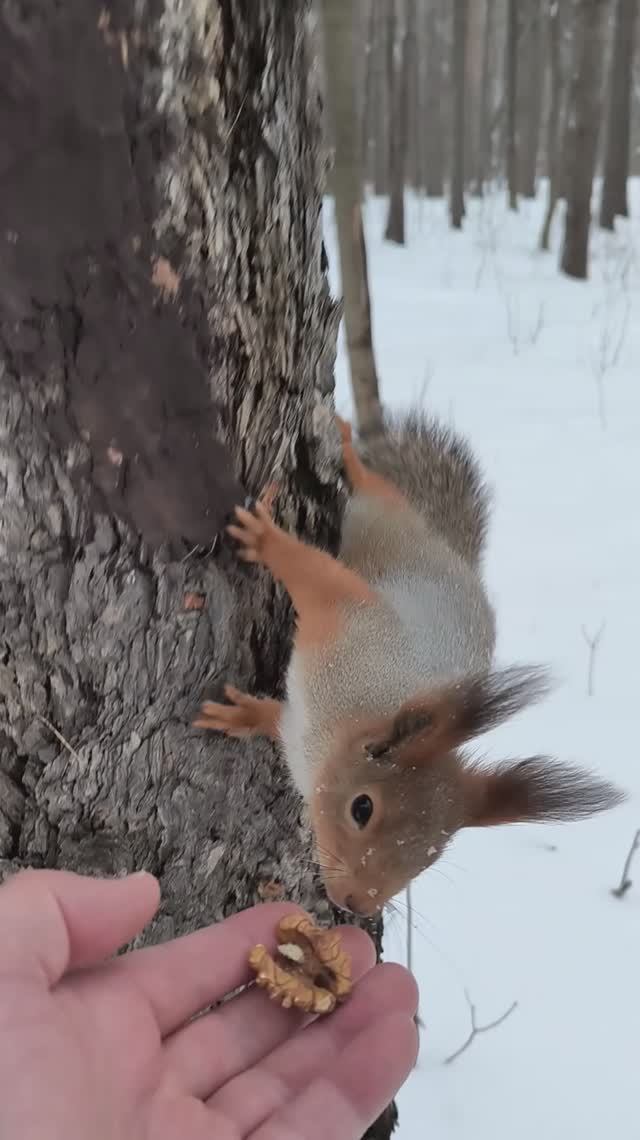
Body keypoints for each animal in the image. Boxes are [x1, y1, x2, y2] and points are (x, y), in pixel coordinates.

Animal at [194, 410, 624, 917]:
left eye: (432, 856)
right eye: (362, 808)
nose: (356, 905)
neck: (328, 740)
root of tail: (455, 554)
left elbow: (278, 717)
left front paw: (245, 715)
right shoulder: (355, 620)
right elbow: (314, 574)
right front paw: (264, 539)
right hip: (387, 518)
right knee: (375, 485)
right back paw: (347, 447)